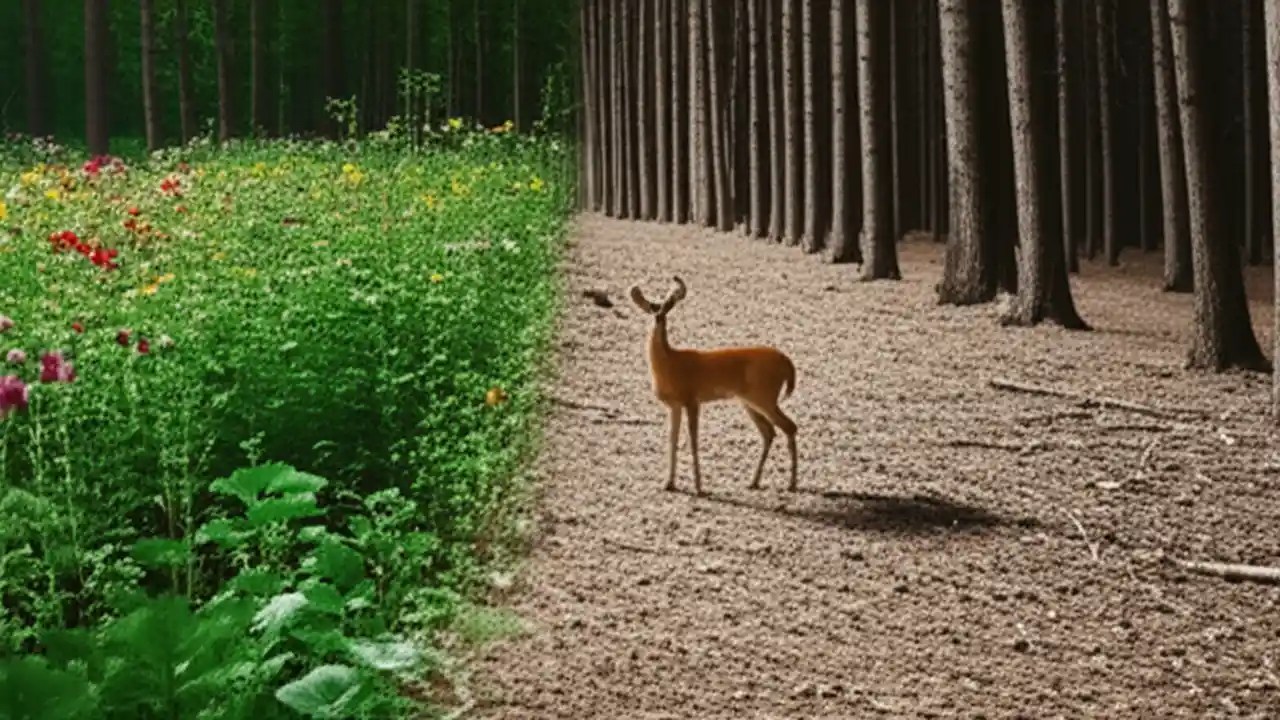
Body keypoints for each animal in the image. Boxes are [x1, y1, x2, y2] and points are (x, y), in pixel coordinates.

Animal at [629, 276, 798, 495]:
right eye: (652, 307)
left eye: (670, 305)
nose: (658, 317)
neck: (670, 364)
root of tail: (787, 362)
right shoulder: (674, 405)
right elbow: (672, 439)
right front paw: (669, 483)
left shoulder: (692, 400)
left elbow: (693, 441)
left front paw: (699, 488)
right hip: (749, 402)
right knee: (769, 432)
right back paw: (754, 482)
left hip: (764, 398)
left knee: (789, 427)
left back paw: (792, 484)